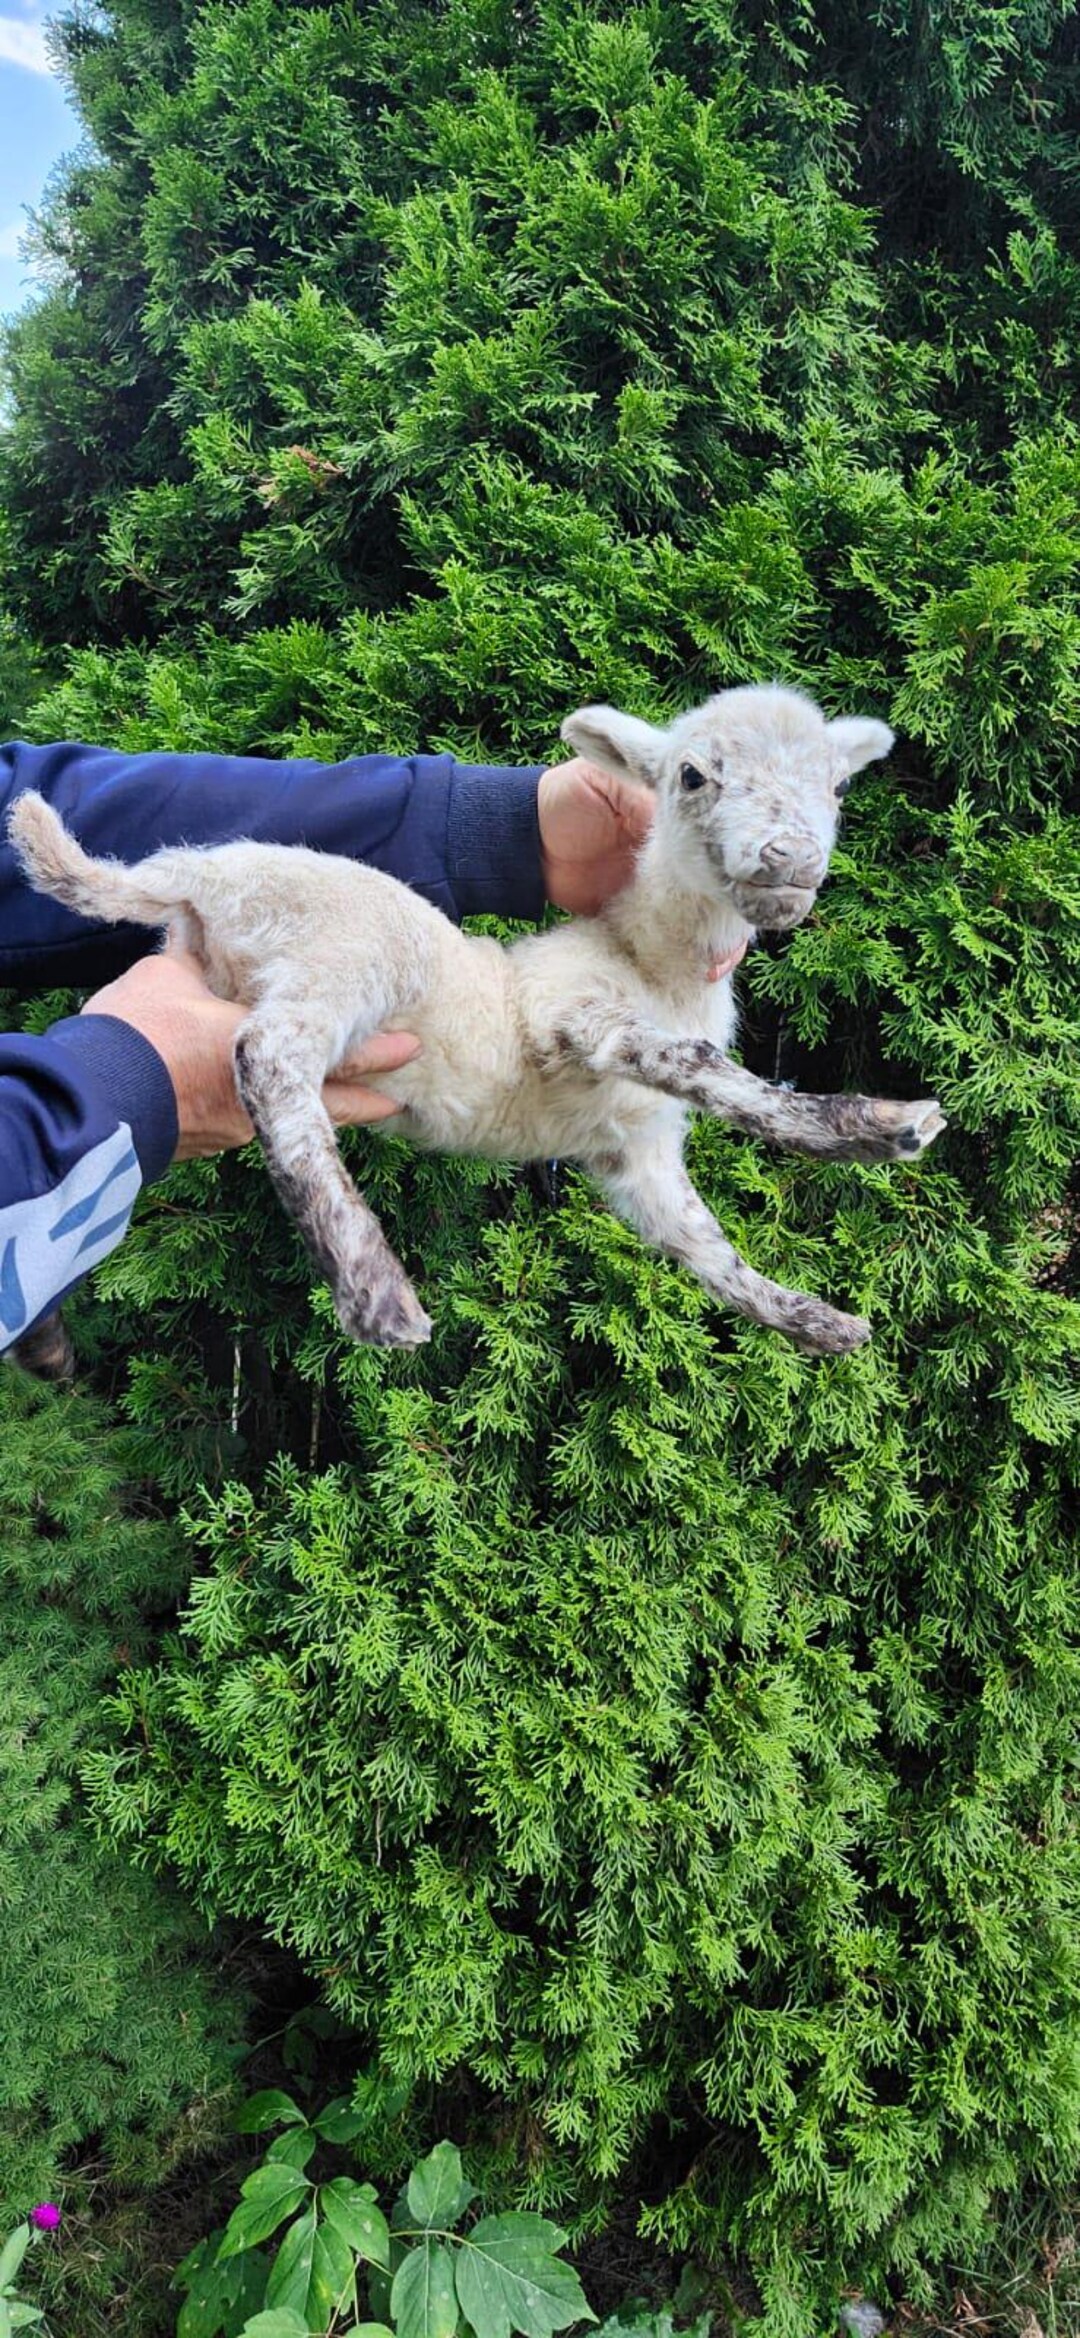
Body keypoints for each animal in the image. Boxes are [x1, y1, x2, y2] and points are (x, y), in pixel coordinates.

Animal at [9, 684, 945, 1369]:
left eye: (836, 786)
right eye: (690, 776)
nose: (791, 861)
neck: (657, 962)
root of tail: (199, 877)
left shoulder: (637, 1152)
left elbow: (707, 1249)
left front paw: (816, 1322)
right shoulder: (581, 1016)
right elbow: (711, 1073)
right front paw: (877, 1127)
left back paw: (46, 1343)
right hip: (348, 957)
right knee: (269, 1060)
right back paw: (372, 1286)